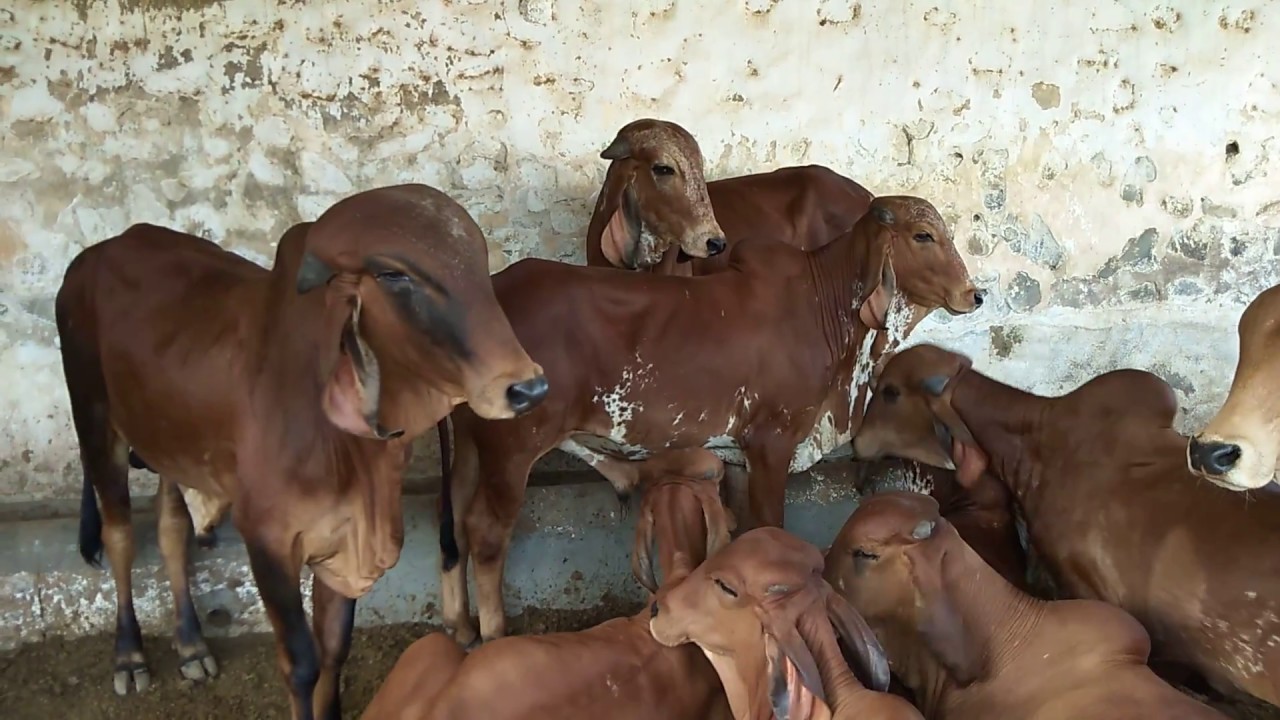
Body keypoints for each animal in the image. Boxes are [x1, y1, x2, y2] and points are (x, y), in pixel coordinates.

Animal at [55, 184, 548, 720]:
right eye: (394, 275)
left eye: (477, 263)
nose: (528, 388)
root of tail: (100, 251)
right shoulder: (268, 541)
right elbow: (302, 663)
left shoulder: (341, 541)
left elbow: (334, 647)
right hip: (95, 422)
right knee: (120, 533)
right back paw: (129, 656)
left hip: (169, 443)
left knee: (170, 529)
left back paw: (191, 646)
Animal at [438, 195, 983, 646]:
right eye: (923, 235)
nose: (974, 294)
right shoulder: (772, 440)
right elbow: (771, 526)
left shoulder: (739, 454)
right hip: (510, 451)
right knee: (487, 536)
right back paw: (494, 636)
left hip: (472, 448)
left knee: (460, 524)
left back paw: (460, 627)